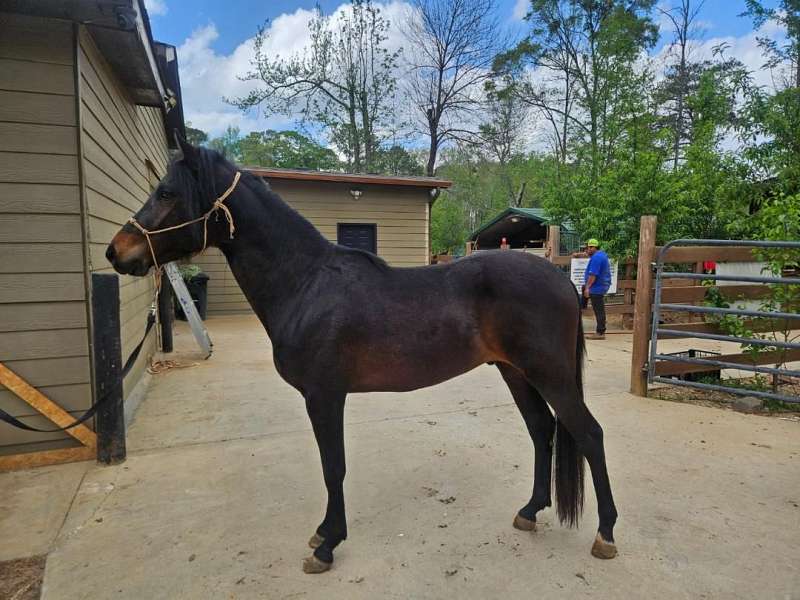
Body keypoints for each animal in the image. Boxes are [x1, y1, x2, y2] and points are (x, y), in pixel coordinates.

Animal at [107, 137, 618, 573]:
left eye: (167, 193)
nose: (116, 252)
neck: (306, 283)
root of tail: (561, 281)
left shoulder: (324, 396)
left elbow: (333, 467)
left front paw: (327, 544)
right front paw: (324, 535)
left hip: (549, 373)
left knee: (590, 434)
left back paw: (606, 534)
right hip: (516, 372)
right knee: (542, 430)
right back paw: (530, 511)